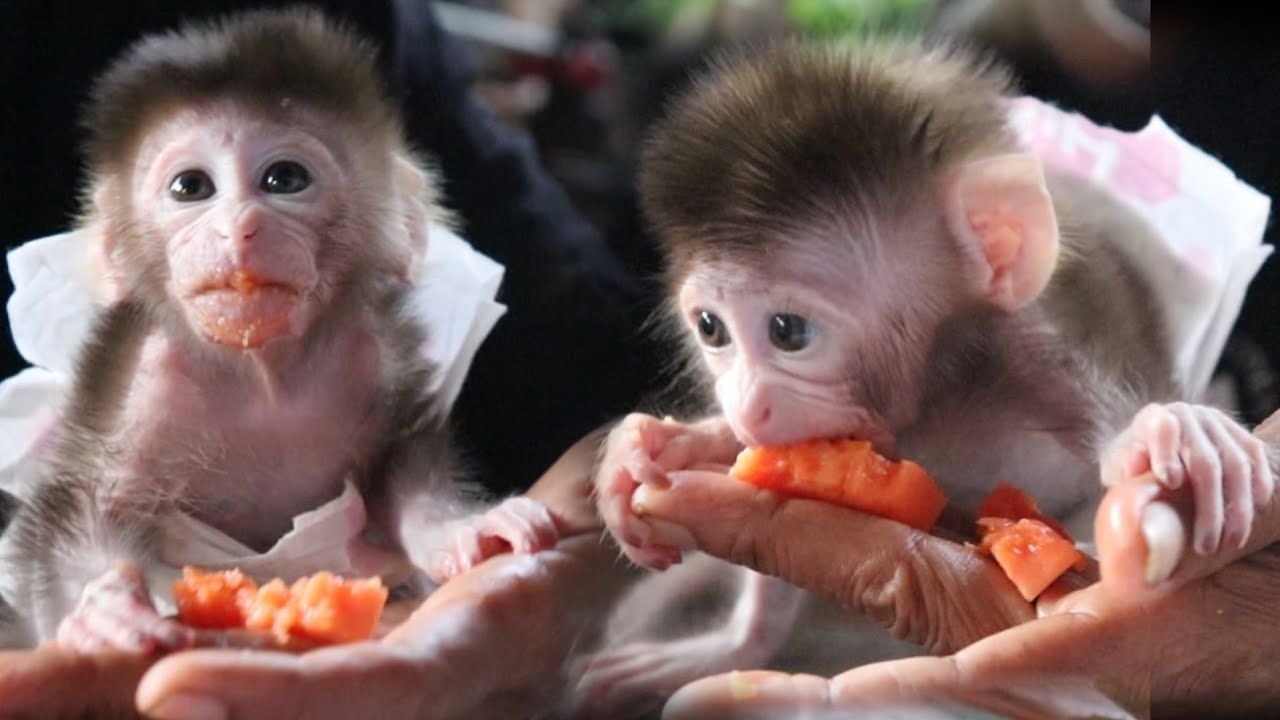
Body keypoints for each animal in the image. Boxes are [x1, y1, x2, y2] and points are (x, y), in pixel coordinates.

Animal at [0, 7, 559, 652]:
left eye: (284, 179)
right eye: (191, 187)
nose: (238, 227)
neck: (261, 371)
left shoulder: (370, 351)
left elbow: (397, 467)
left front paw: (459, 529)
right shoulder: (149, 376)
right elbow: (89, 505)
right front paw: (103, 605)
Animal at [577, 38, 1275, 714]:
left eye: (788, 332)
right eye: (710, 328)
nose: (748, 406)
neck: (940, 390)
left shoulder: (1027, 349)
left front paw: (1173, 432)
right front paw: (654, 448)